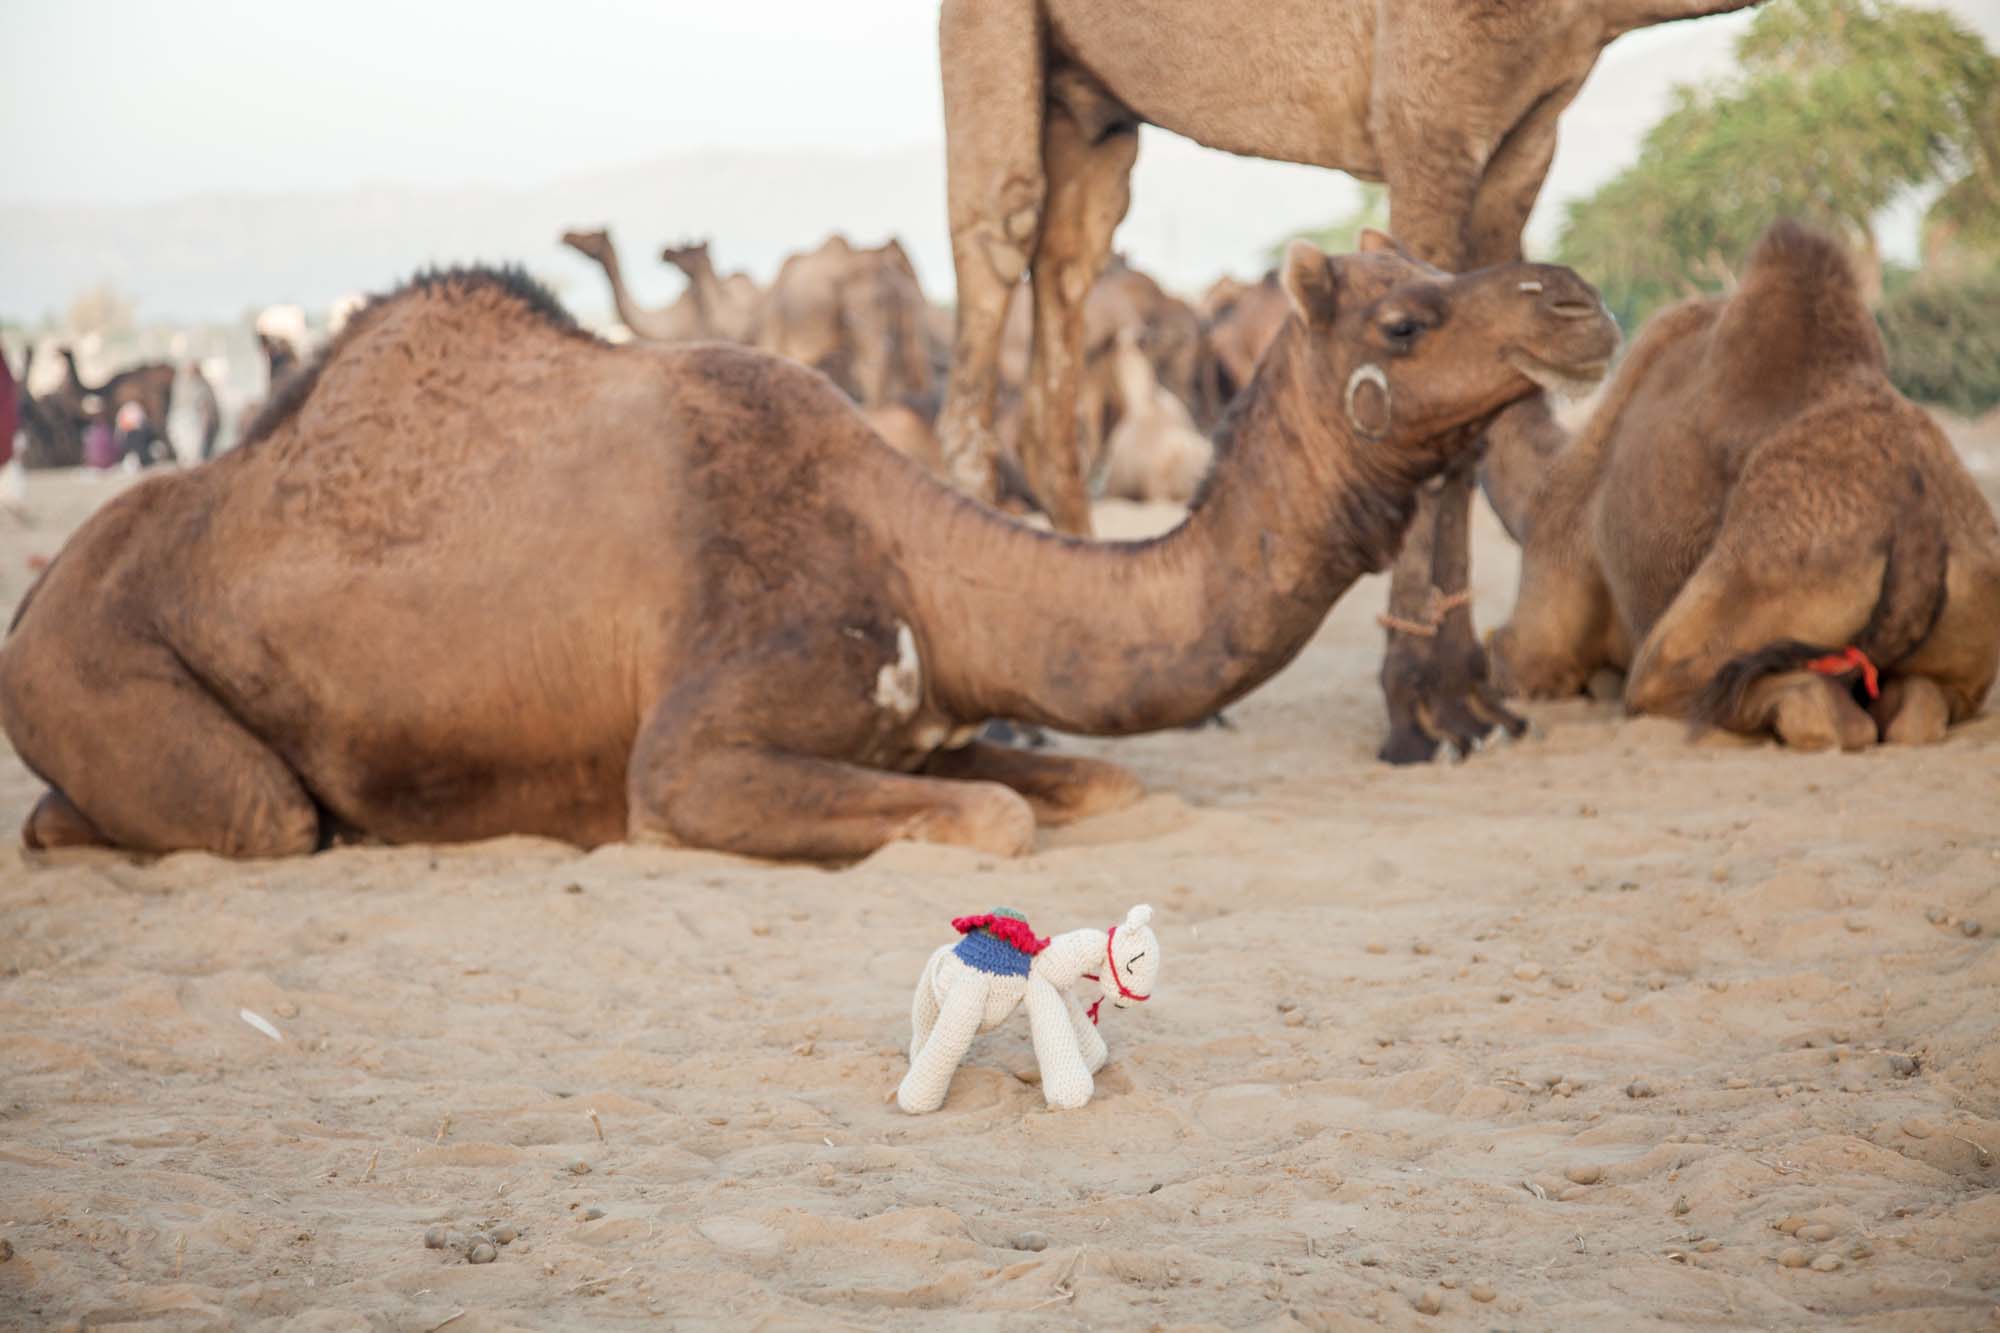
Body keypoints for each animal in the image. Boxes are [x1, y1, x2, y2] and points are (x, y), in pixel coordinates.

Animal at [0, 238, 1615, 861]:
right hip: (101, 679)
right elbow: (994, 821)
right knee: (256, 815)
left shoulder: (921, 716)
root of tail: (38, 599)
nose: (1581, 301)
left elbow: (1092, 780)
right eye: (1405, 315)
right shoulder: (693, 752)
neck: (911, 555)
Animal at [933, 0, 1761, 766]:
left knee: (1065, 300)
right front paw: (1421, 716)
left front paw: (1476, 706)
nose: (1582, 311)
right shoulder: (1429, 106)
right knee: (999, 237)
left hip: (1092, 112)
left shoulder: (1525, 128)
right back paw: (1005, 719)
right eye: (1401, 325)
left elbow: (1469, 431)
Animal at [1488, 221, 2000, 750]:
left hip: (1765, 575)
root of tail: (1917, 528)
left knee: (1686, 681)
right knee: (1918, 704)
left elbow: (1507, 654)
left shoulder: (1547, 606)